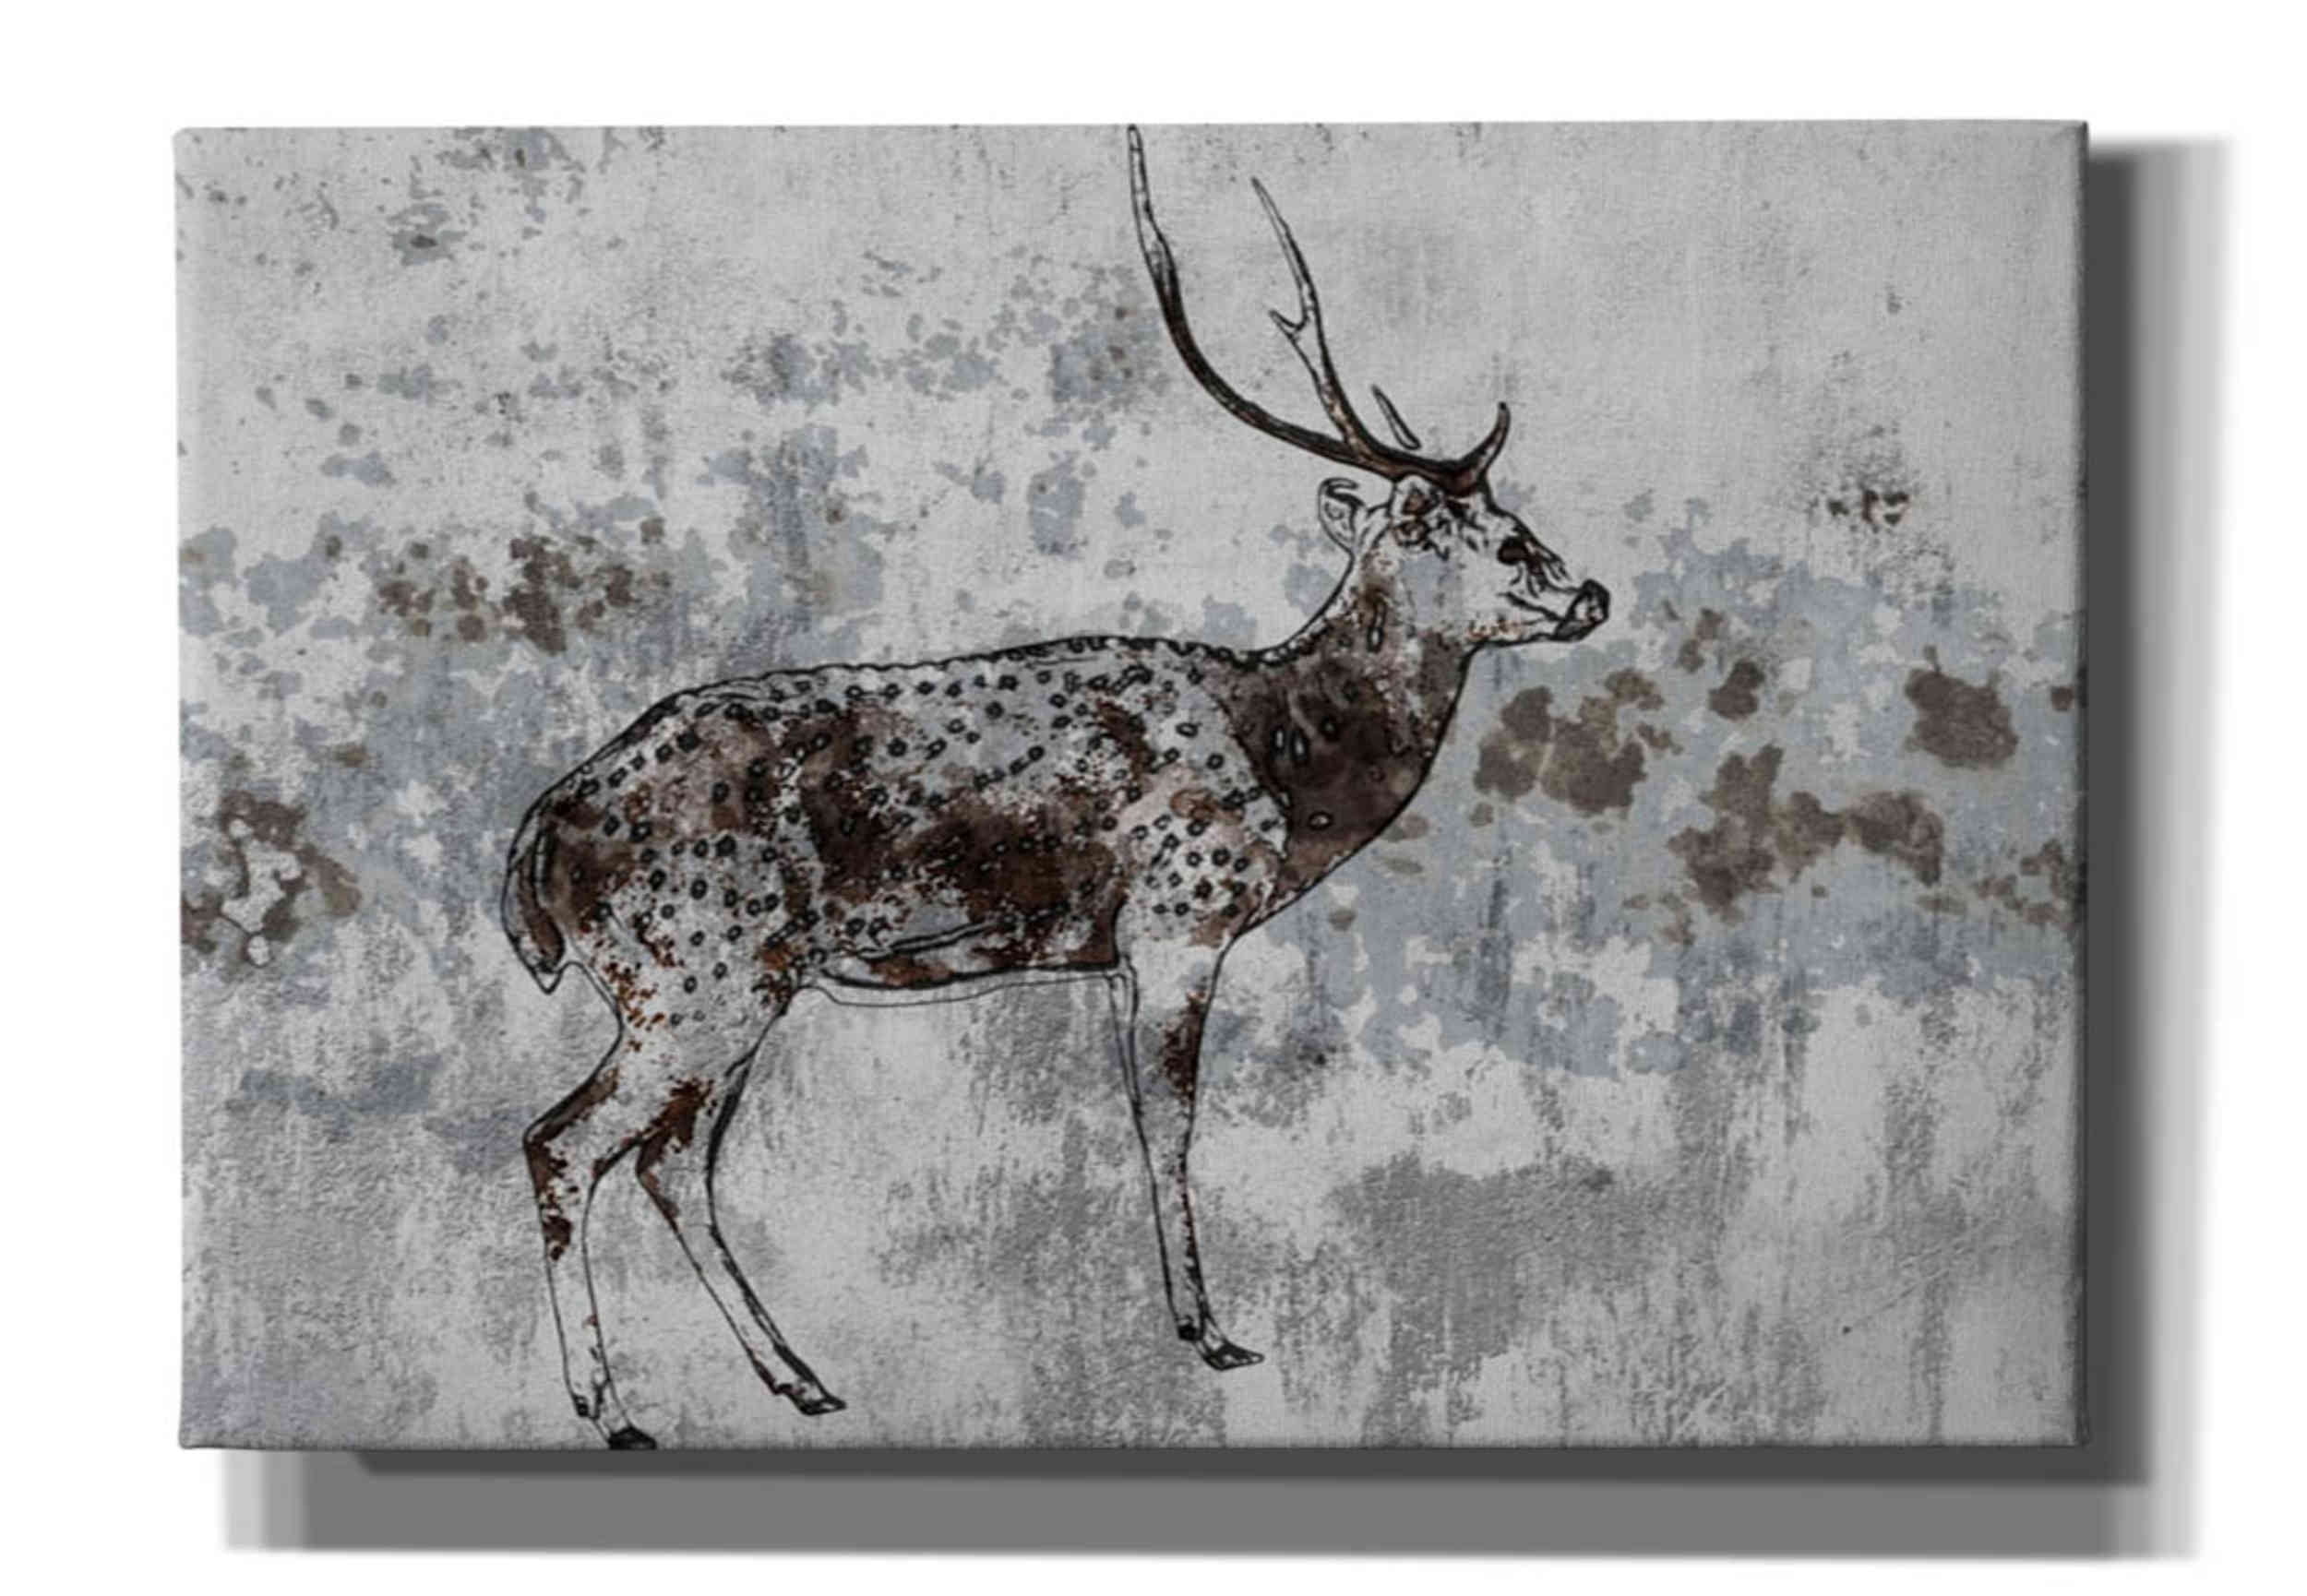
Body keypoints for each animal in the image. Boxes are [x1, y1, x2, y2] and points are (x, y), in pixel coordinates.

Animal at [501, 126, 1610, 1447]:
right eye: (1458, 529)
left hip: (734, 989)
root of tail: (537, 837)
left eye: (1508, 514)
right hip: (686, 976)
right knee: (564, 1141)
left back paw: (801, 1376)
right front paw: (1209, 1331)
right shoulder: (1178, 919)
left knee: (672, 1161)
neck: (1287, 765)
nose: (1588, 591)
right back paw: (612, 1407)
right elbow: (1166, 1123)